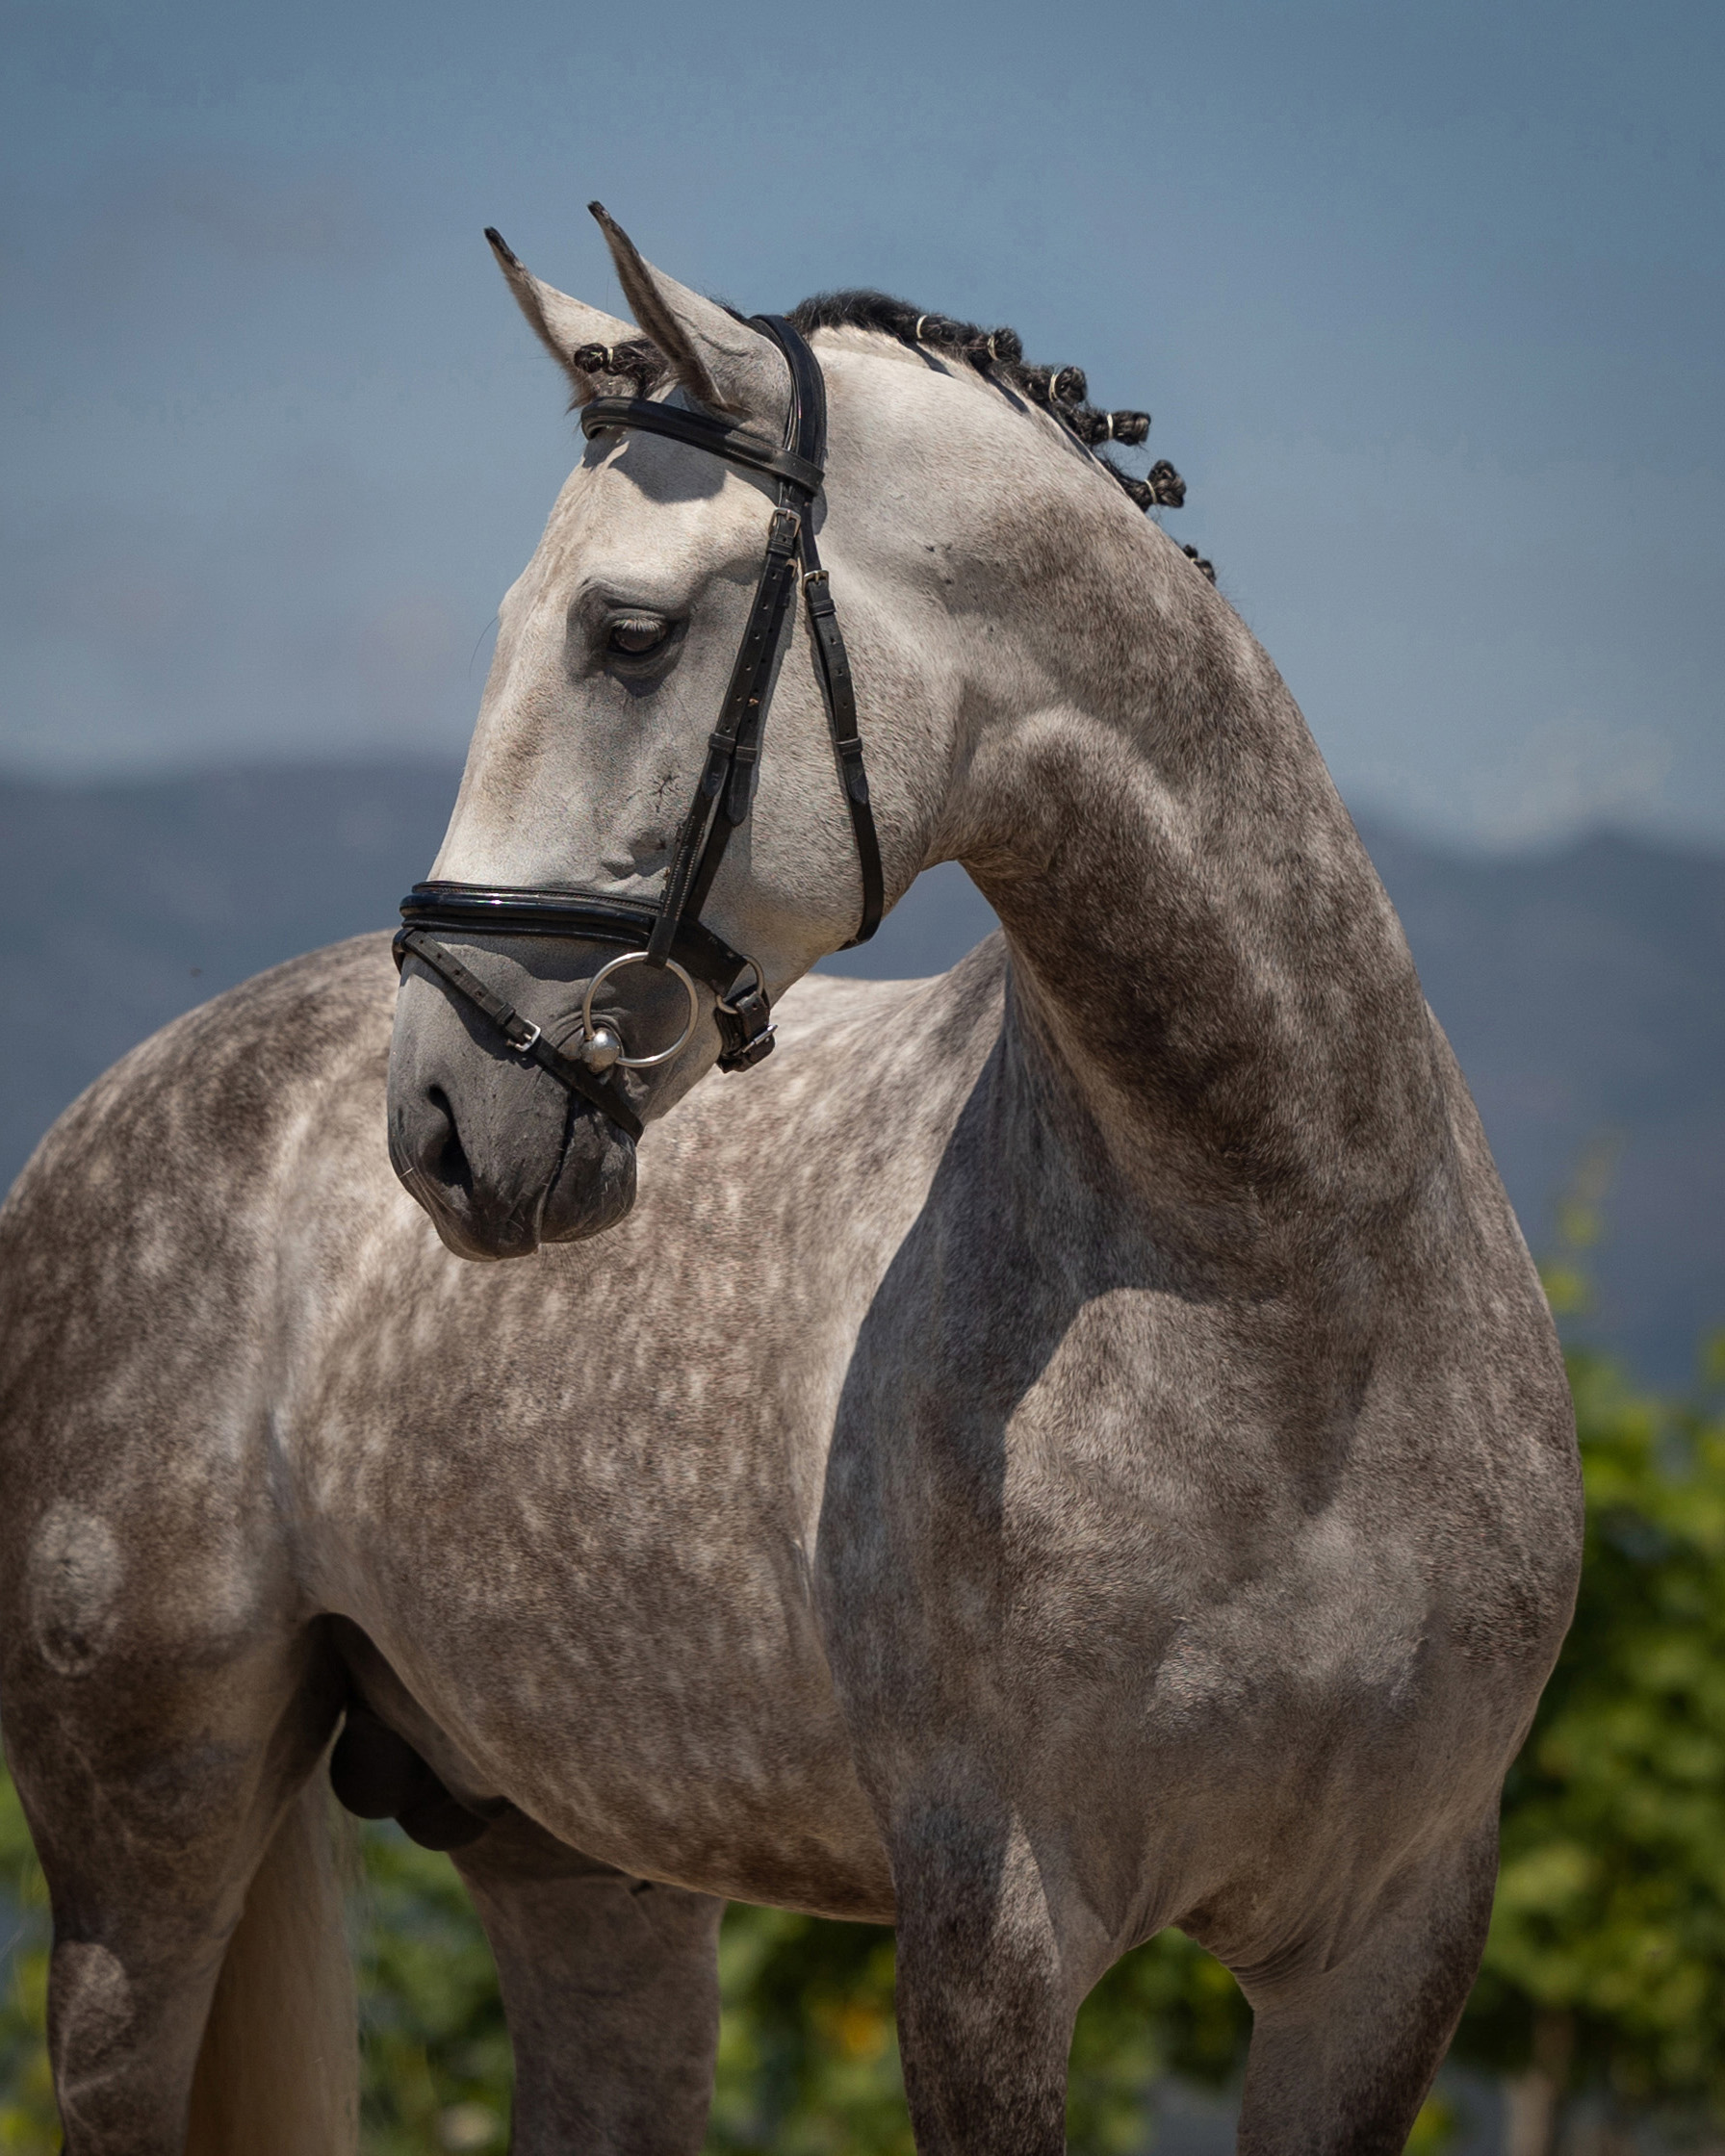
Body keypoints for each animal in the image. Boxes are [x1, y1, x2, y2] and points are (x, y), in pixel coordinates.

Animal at [0, 206, 1580, 2156]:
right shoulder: (993, 1931)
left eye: (625, 632)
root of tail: (109, 1110)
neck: (1290, 1290)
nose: (440, 1116)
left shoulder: (1391, 1951)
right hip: (141, 1849)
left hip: (582, 1869)